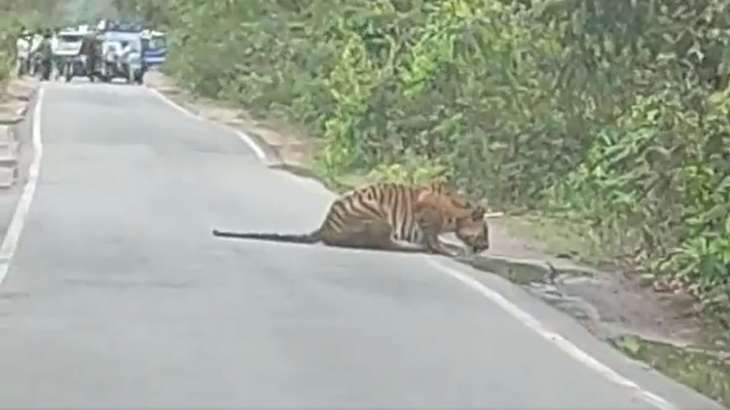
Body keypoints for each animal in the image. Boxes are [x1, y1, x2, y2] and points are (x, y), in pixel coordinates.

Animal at [212, 181, 499, 257]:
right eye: (485, 232)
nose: (486, 246)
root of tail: (325, 226)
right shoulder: (428, 222)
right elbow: (437, 242)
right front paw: (455, 251)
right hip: (379, 216)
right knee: (382, 244)